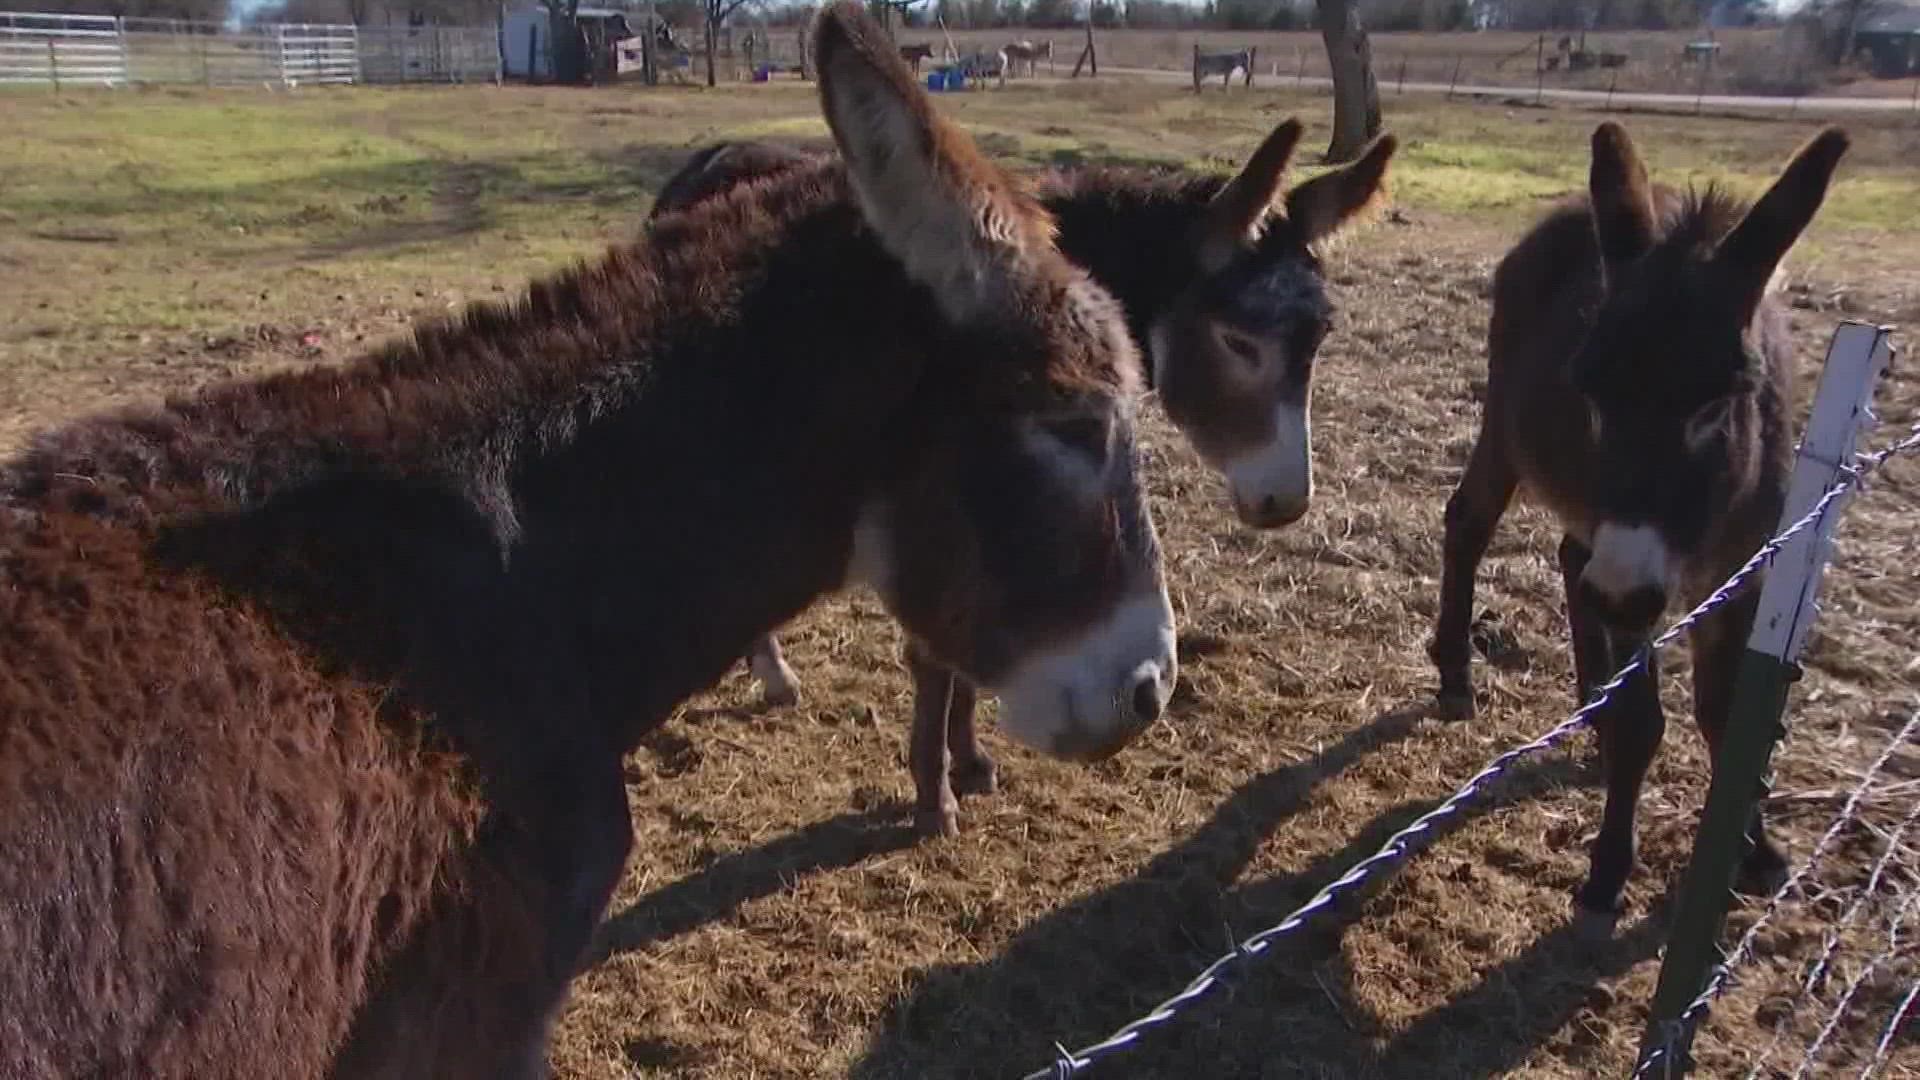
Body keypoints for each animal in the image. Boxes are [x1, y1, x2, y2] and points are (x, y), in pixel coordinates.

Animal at [648, 120, 1399, 834]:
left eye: (1320, 336)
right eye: (1239, 341)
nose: (1287, 502)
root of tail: (712, 156)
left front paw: (971, 760)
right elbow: (937, 660)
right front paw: (935, 795)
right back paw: (775, 672)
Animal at [1429, 121, 1850, 933]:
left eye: (1720, 403)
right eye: (1589, 391)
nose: (1625, 592)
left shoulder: (1746, 566)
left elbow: (1728, 714)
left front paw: (1752, 849)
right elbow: (1644, 723)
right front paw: (1607, 871)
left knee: (1570, 557)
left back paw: (1588, 694)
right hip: (1508, 432)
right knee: (1471, 523)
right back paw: (1459, 674)